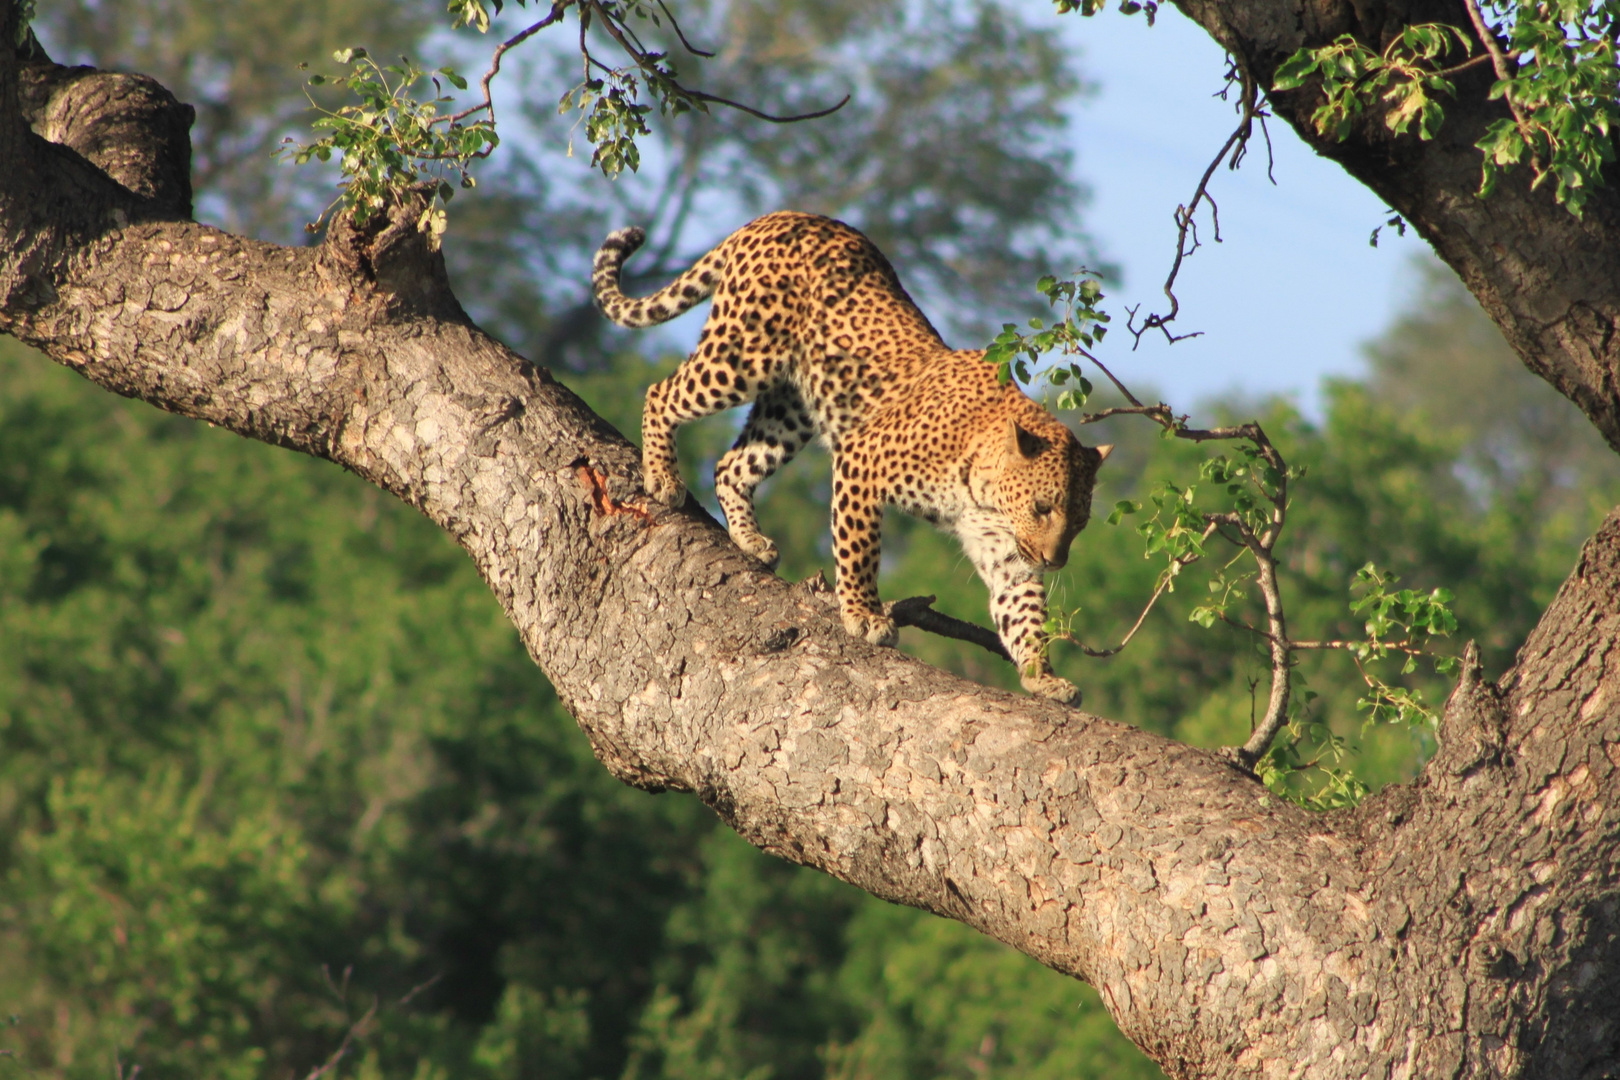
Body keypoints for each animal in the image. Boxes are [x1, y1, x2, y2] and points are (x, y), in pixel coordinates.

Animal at [596, 212, 1114, 705]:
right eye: (1042, 508)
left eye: (1079, 523)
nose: (1054, 561)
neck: (985, 488)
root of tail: (784, 216)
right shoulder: (862, 461)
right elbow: (860, 549)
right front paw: (865, 615)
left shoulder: (1004, 550)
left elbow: (1023, 610)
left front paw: (1043, 676)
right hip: (741, 356)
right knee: (662, 392)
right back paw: (662, 476)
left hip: (790, 410)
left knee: (732, 465)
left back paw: (750, 540)